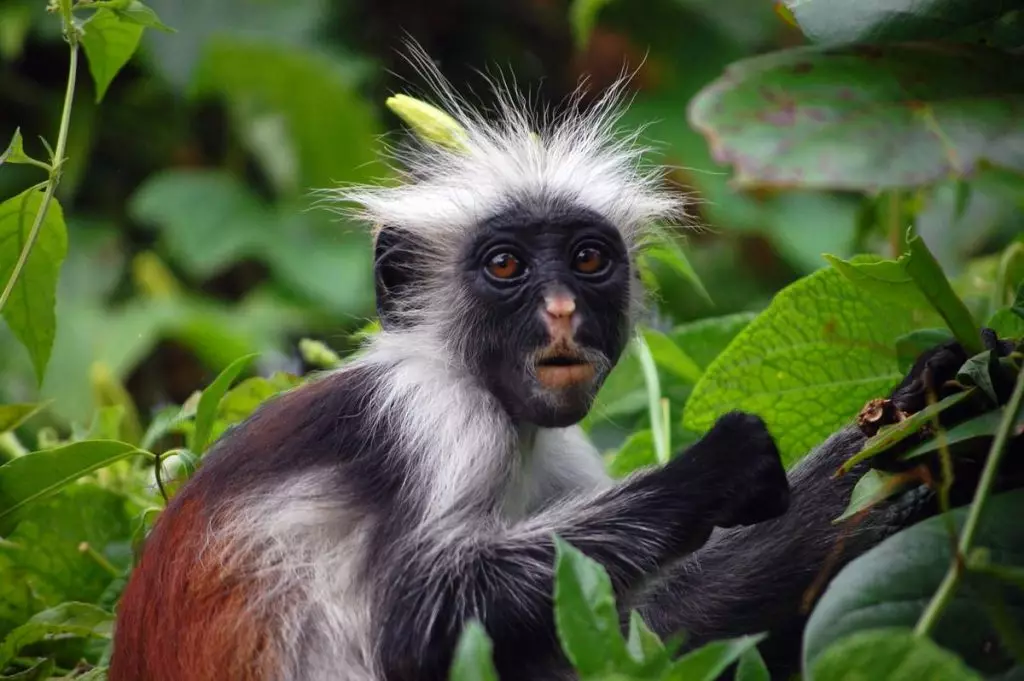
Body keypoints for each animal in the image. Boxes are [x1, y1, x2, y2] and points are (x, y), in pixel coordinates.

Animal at [105, 54, 1015, 679]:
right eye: (506, 265)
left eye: (587, 259)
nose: (563, 311)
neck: (476, 381)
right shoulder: (433, 415)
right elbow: (415, 619)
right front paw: (717, 469)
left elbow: (655, 626)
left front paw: (943, 419)